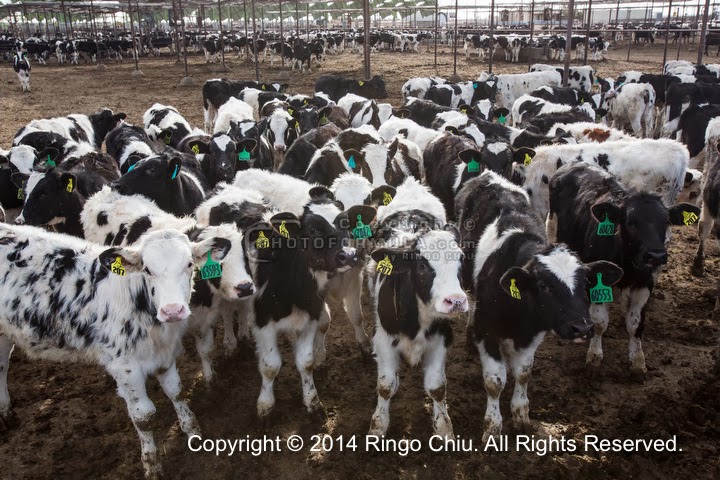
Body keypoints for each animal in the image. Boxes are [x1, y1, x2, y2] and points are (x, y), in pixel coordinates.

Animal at [0, 224, 231, 478]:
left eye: (189, 264)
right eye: (147, 269)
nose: (172, 310)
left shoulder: (165, 355)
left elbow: (176, 392)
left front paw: (192, 430)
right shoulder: (125, 368)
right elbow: (144, 417)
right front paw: (151, 463)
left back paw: (6, 413)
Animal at [366, 177, 468, 437]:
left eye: (461, 260)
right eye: (422, 265)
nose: (456, 301)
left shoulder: (442, 339)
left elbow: (437, 387)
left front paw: (444, 428)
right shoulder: (383, 340)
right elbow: (385, 385)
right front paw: (378, 425)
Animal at [456, 169, 622, 442]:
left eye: (586, 282)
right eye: (543, 285)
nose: (582, 327)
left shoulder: (532, 333)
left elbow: (523, 372)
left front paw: (521, 415)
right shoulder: (488, 330)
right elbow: (494, 381)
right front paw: (493, 426)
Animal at [548, 162, 699, 374]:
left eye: (665, 222)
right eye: (630, 222)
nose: (656, 255)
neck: (627, 263)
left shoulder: (645, 283)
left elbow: (635, 324)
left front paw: (637, 360)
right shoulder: (598, 280)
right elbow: (600, 321)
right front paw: (595, 355)